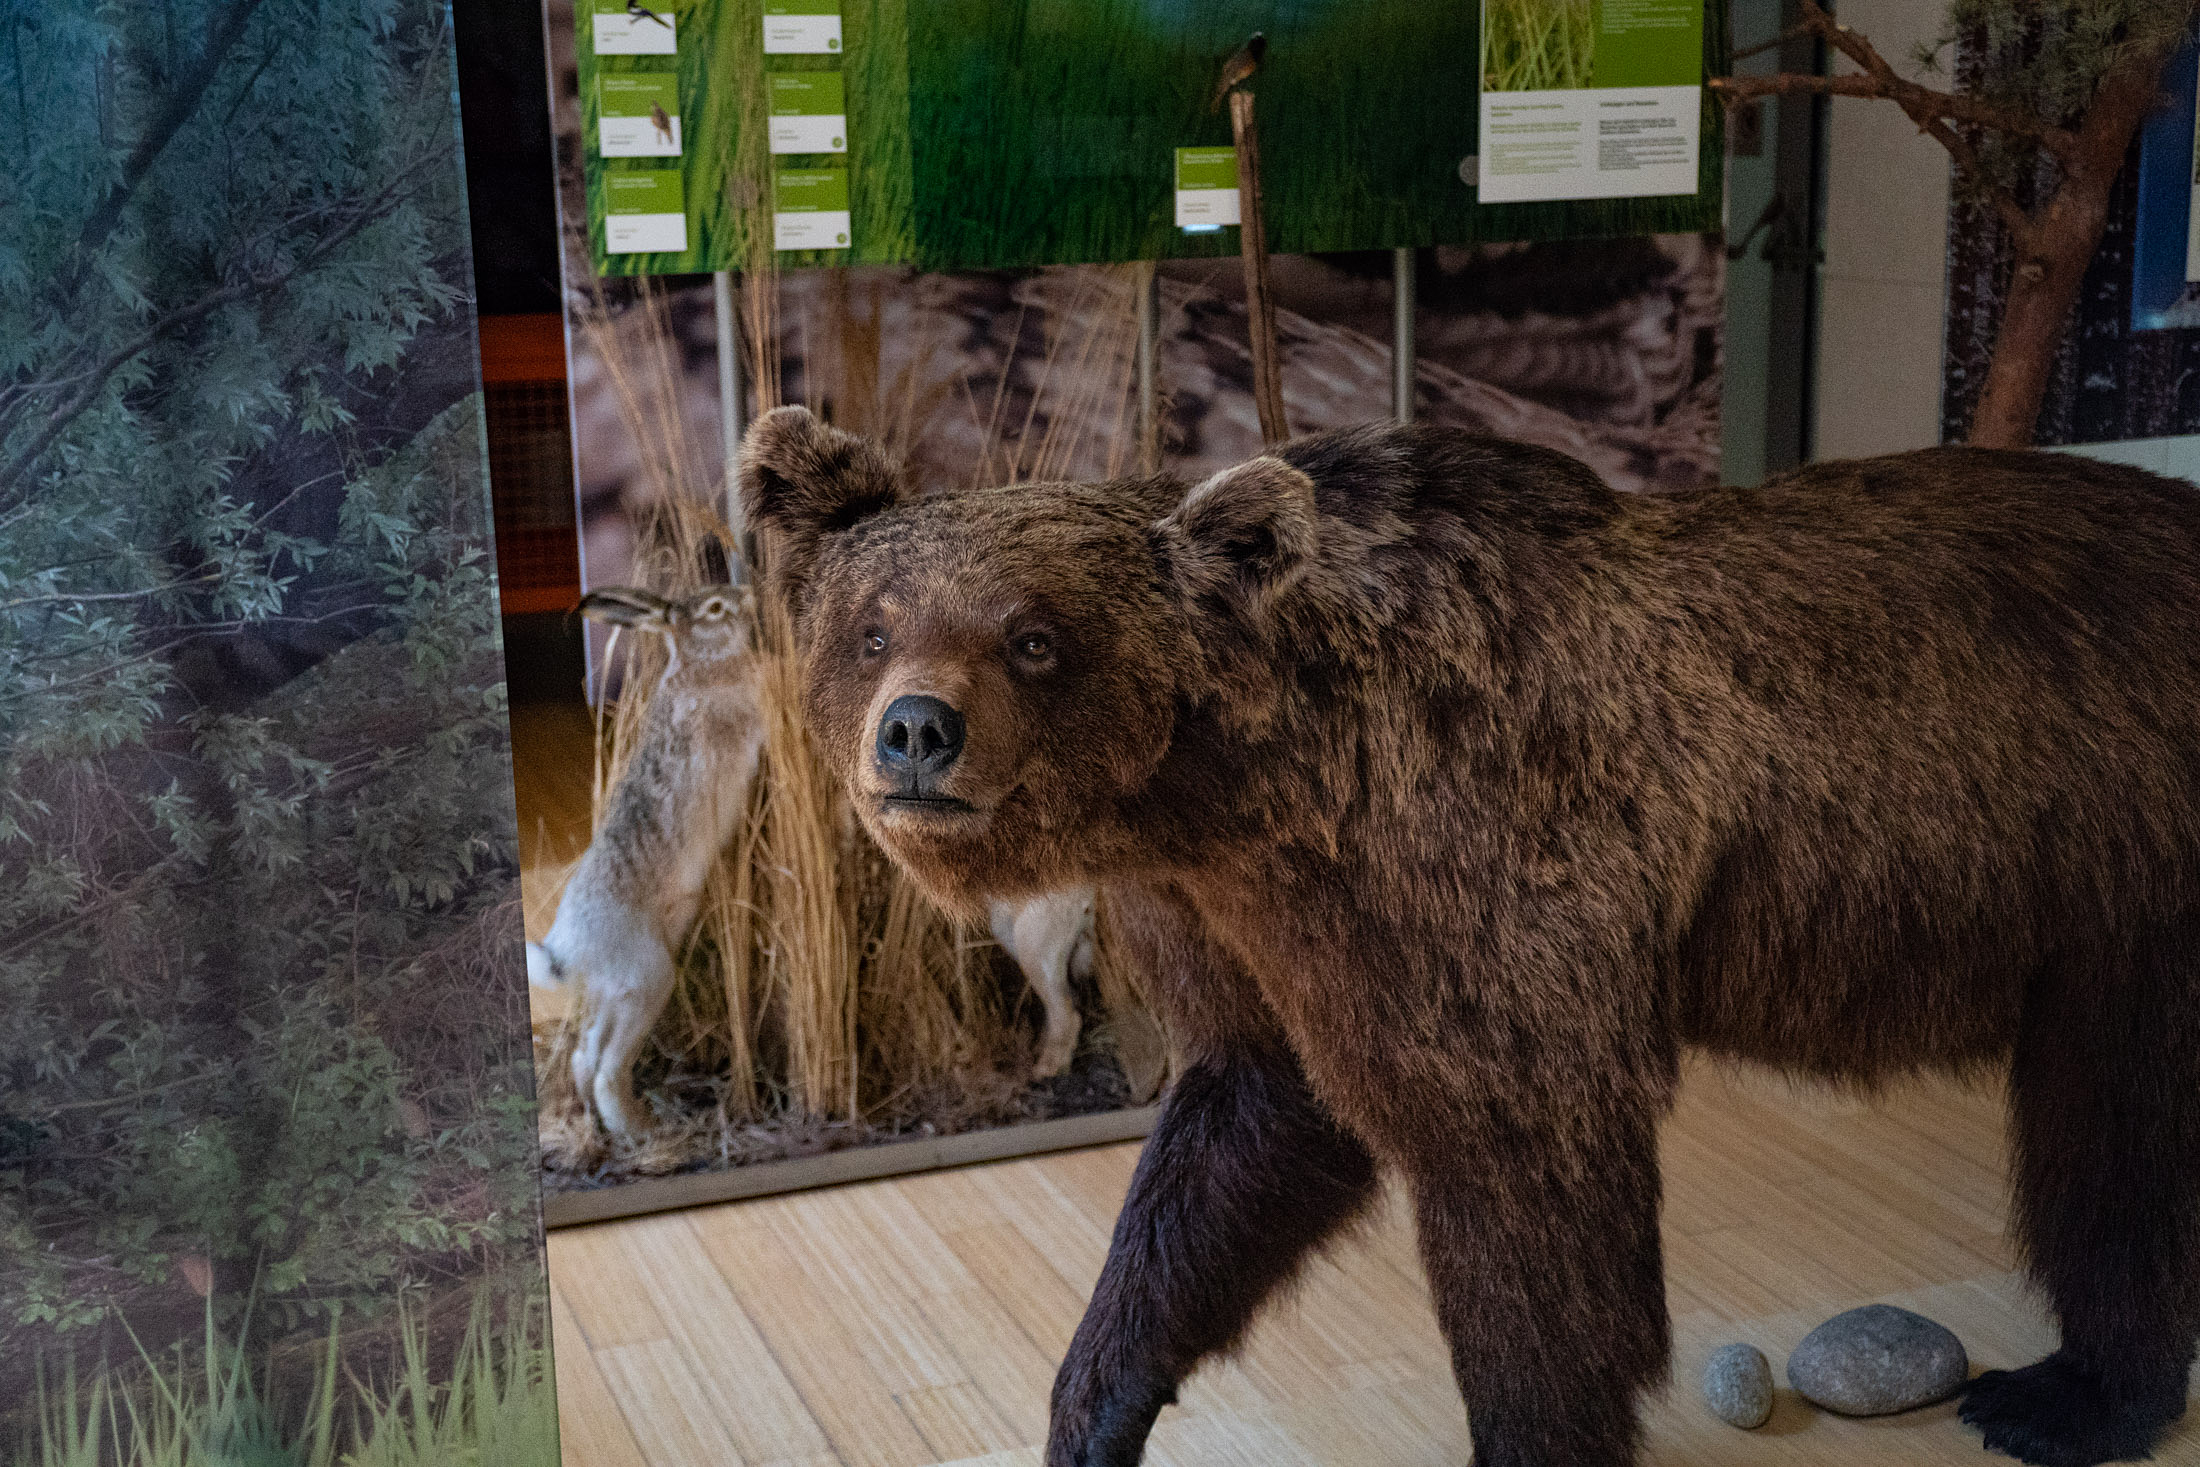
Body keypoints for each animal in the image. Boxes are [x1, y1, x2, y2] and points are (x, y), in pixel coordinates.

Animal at [736, 404, 2200, 1467]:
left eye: (1034, 637)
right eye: (872, 626)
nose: (915, 732)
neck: (1236, 790)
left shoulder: (1463, 875)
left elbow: (1522, 1191)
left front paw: (1533, 1428)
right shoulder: (1237, 924)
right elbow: (1237, 1140)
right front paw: (1094, 1402)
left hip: (2122, 876)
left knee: (2114, 1142)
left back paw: (2069, 1395)